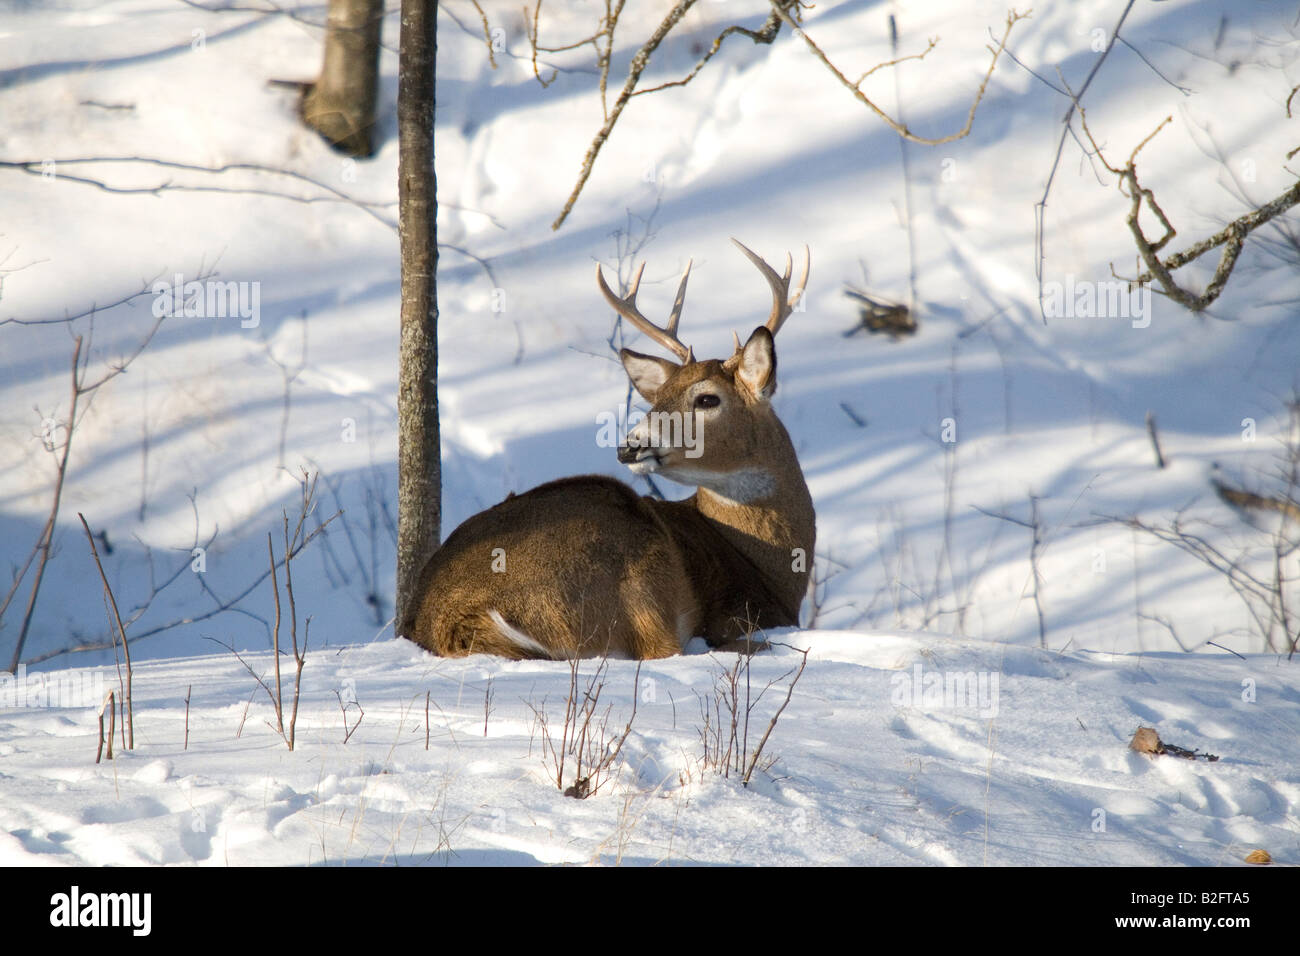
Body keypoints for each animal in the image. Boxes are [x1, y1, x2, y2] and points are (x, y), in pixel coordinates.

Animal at [401, 239, 814, 660]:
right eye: (658, 398)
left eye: (707, 399)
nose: (630, 446)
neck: (770, 570)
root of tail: (455, 620)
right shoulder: (739, 612)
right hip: (635, 571)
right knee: (664, 648)